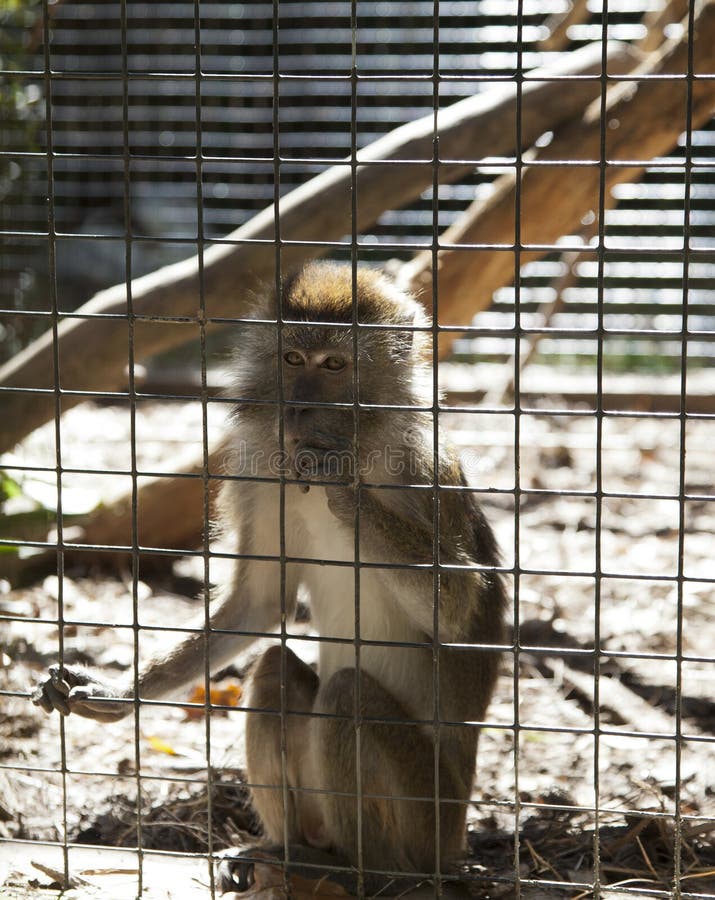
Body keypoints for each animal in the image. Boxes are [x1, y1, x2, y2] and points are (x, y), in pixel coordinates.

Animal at [32, 261, 506, 892]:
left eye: (334, 365)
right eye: (292, 359)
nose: (298, 408)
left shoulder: (423, 471)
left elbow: (456, 613)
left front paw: (341, 483)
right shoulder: (260, 475)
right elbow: (258, 604)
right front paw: (115, 695)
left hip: (428, 818)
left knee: (347, 696)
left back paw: (367, 871)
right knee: (277, 670)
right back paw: (289, 849)